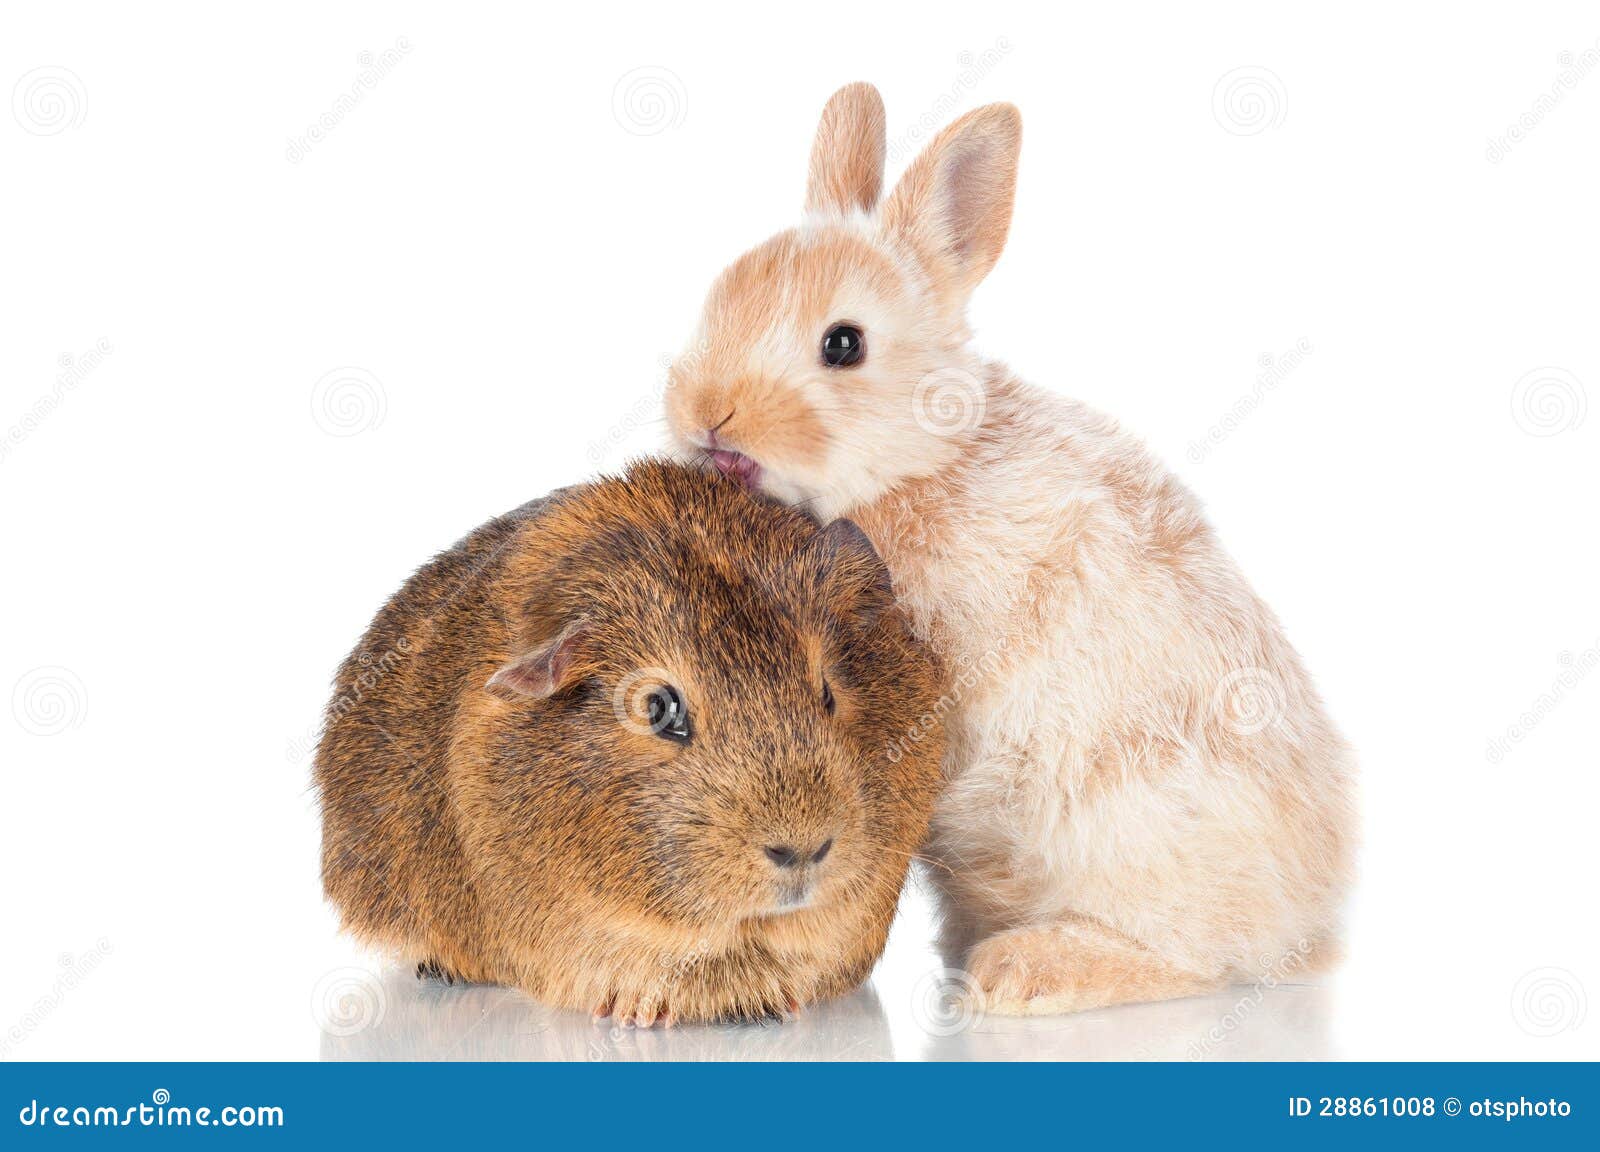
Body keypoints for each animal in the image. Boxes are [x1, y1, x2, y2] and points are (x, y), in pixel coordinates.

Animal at [662, 83, 1356, 1015]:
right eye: (720, 297)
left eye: (843, 344)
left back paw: (1024, 973)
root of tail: (1311, 921)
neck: (917, 466)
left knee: (1195, 958)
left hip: (1127, 823)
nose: (708, 412)